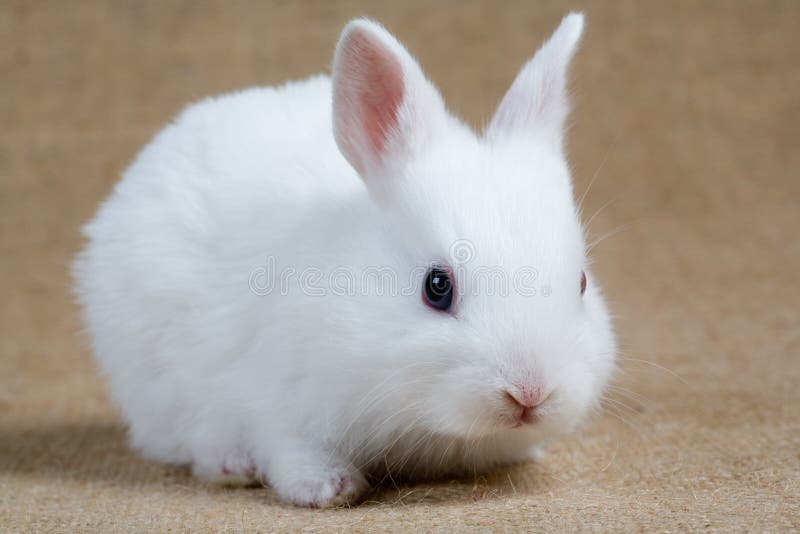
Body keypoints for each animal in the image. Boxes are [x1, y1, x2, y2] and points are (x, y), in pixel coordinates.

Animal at [73, 13, 616, 508]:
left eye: (581, 283)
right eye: (437, 286)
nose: (530, 393)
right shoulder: (278, 401)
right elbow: (289, 447)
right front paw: (326, 489)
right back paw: (232, 466)